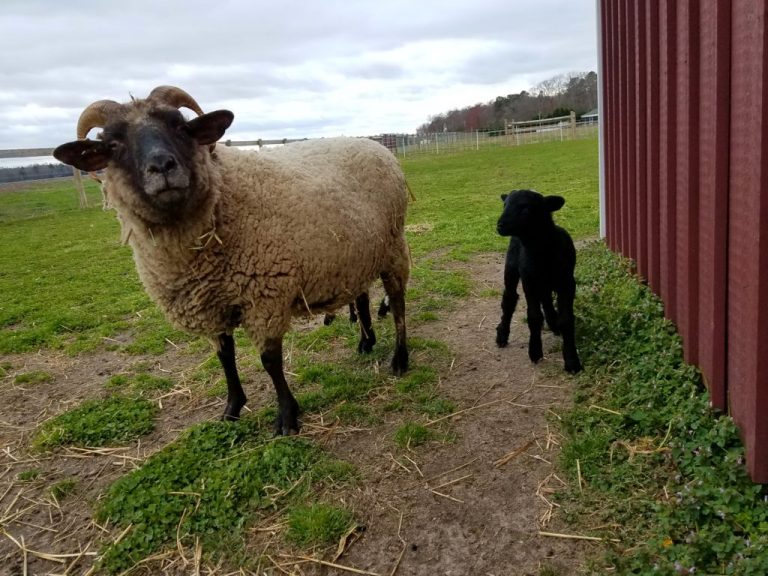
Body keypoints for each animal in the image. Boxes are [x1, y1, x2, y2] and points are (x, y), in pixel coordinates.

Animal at [53, 86, 410, 435]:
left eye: (180, 126)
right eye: (112, 144)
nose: (162, 167)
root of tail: (371, 143)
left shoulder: (264, 296)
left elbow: (270, 361)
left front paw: (287, 417)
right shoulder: (209, 301)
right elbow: (225, 356)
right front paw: (232, 409)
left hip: (393, 246)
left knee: (398, 303)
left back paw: (400, 359)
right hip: (356, 254)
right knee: (361, 297)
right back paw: (366, 341)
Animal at [495, 189, 582, 374]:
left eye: (526, 209)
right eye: (505, 205)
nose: (500, 225)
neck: (542, 252)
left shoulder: (567, 283)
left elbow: (566, 319)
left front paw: (572, 361)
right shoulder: (529, 282)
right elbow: (534, 317)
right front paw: (534, 351)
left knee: (546, 299)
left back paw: (553, 322)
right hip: (512, 269)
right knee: (509, 299)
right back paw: (502, 334)